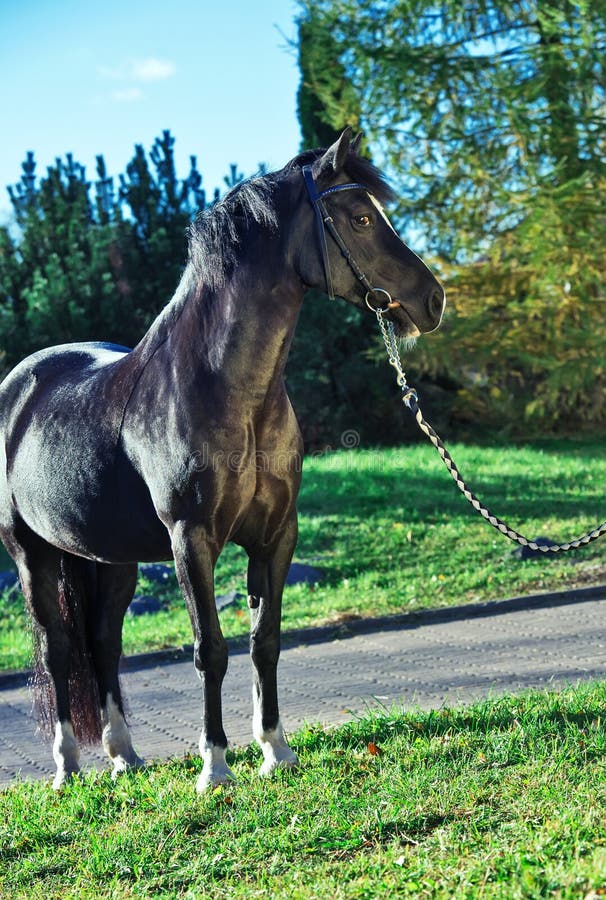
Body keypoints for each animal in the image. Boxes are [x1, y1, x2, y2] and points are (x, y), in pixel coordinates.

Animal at [0, 128, 444, 792]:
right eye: (362, 218)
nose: (433, 300)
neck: (229, 392)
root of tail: (19, 385)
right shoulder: (193, 539)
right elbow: (209, 648)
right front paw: (215, 766)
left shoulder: (276, 535)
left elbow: (265, 640)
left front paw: (275, 751)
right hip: (33, 554)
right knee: (58, 649)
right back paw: (67, 767)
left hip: (112, 559)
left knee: (102, 642)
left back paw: (124, 755)